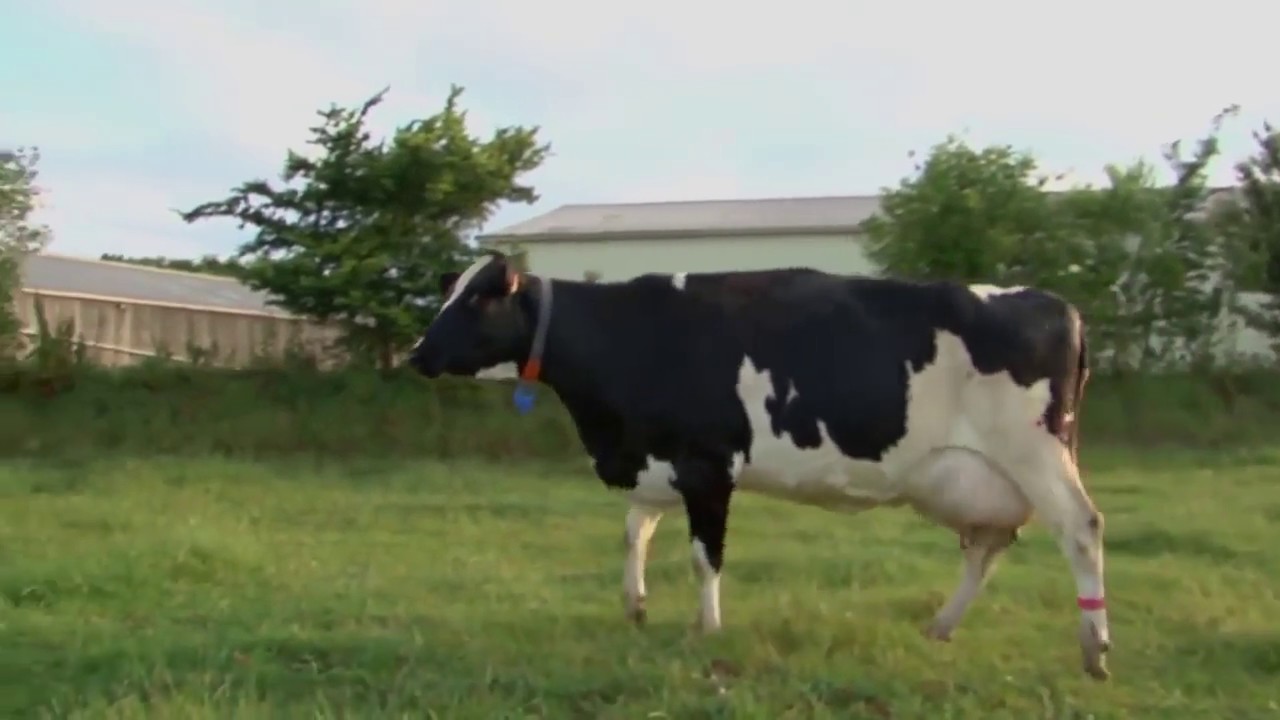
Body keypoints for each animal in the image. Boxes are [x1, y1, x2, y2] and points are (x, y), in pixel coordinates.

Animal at [408, 251, 1110, 681]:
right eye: (450, 293)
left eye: (476, 299)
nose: (416, 354)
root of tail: (1059, 304)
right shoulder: (659, 459)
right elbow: (634, 530)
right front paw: (635, 607)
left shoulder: (707, 463)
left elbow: (704, 556)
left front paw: (709, 629)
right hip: (980, 476)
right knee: (988, 546)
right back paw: (940, 627)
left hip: (1035, 452)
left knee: (1081, 529)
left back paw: (1096, 651)